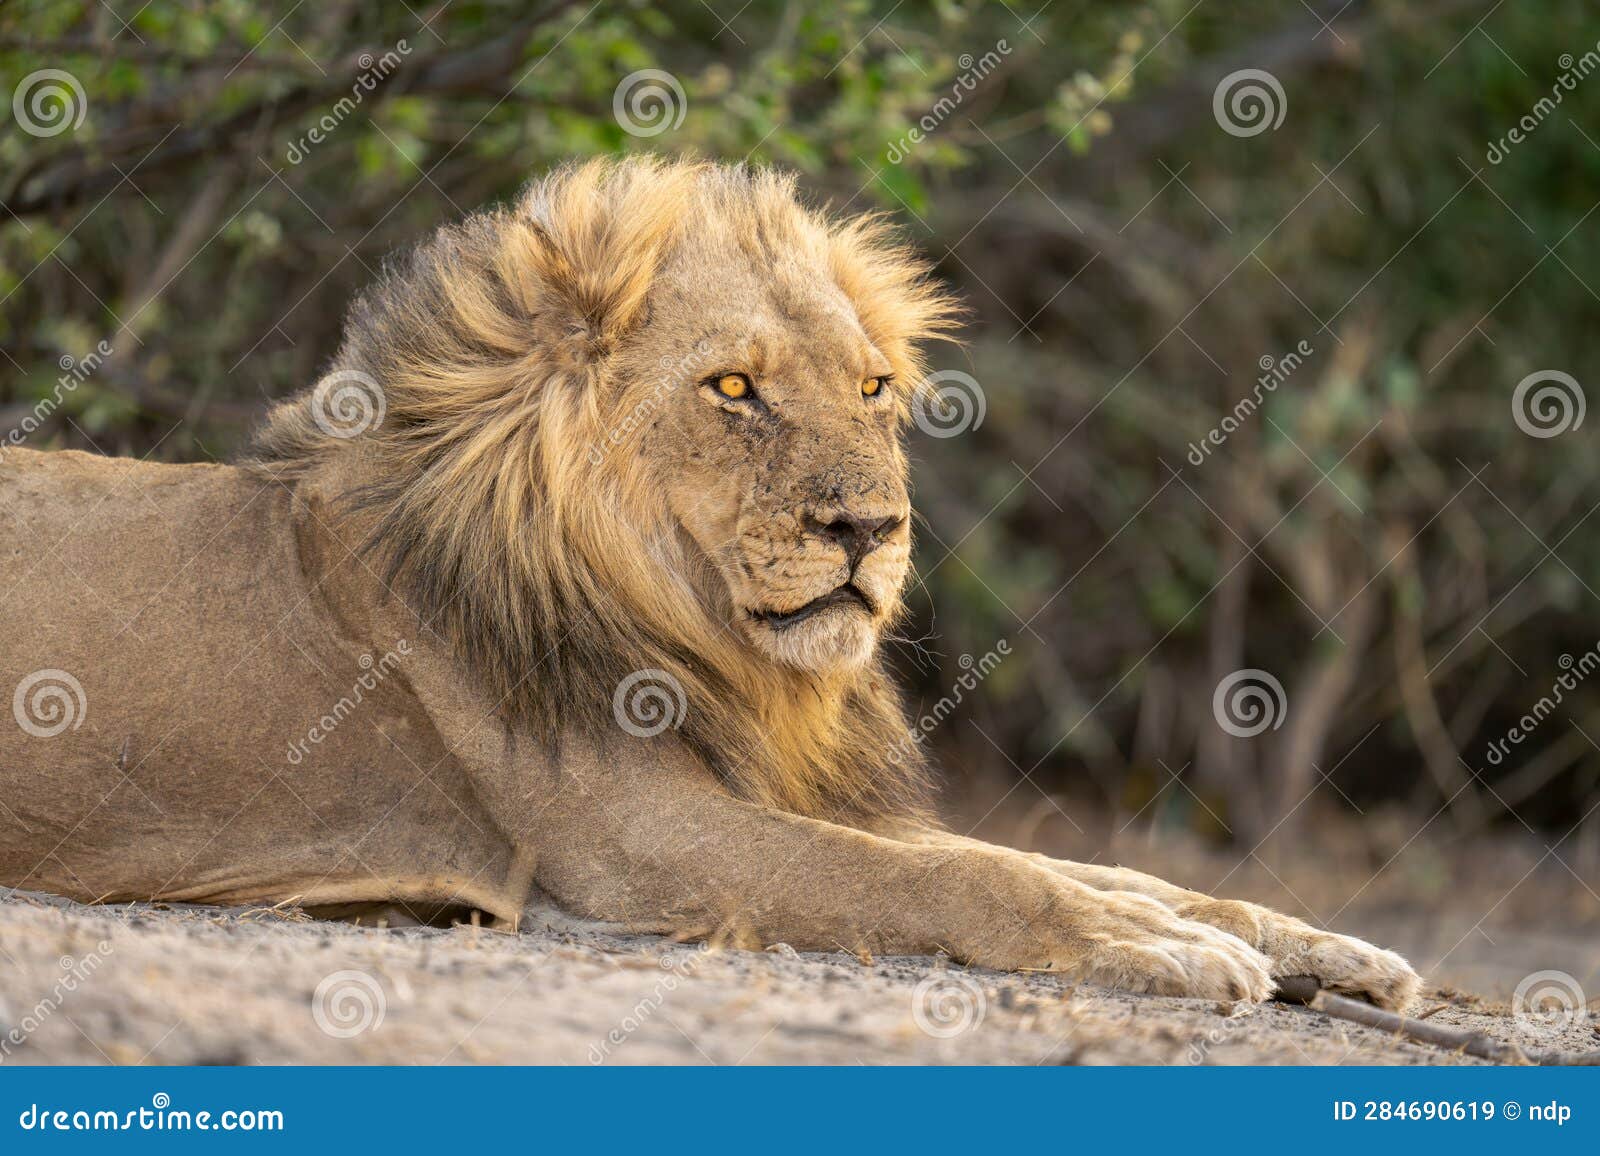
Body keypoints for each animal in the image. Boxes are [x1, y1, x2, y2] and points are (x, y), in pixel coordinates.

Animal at [0, 157, 1418, 1009]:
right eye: (733, 388)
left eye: (872, 388)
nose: (871, 527)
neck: (716, 646)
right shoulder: (636, 848)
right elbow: (957, 880)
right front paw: (1159, 952)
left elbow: (1095, 866)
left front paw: (1310, 945)